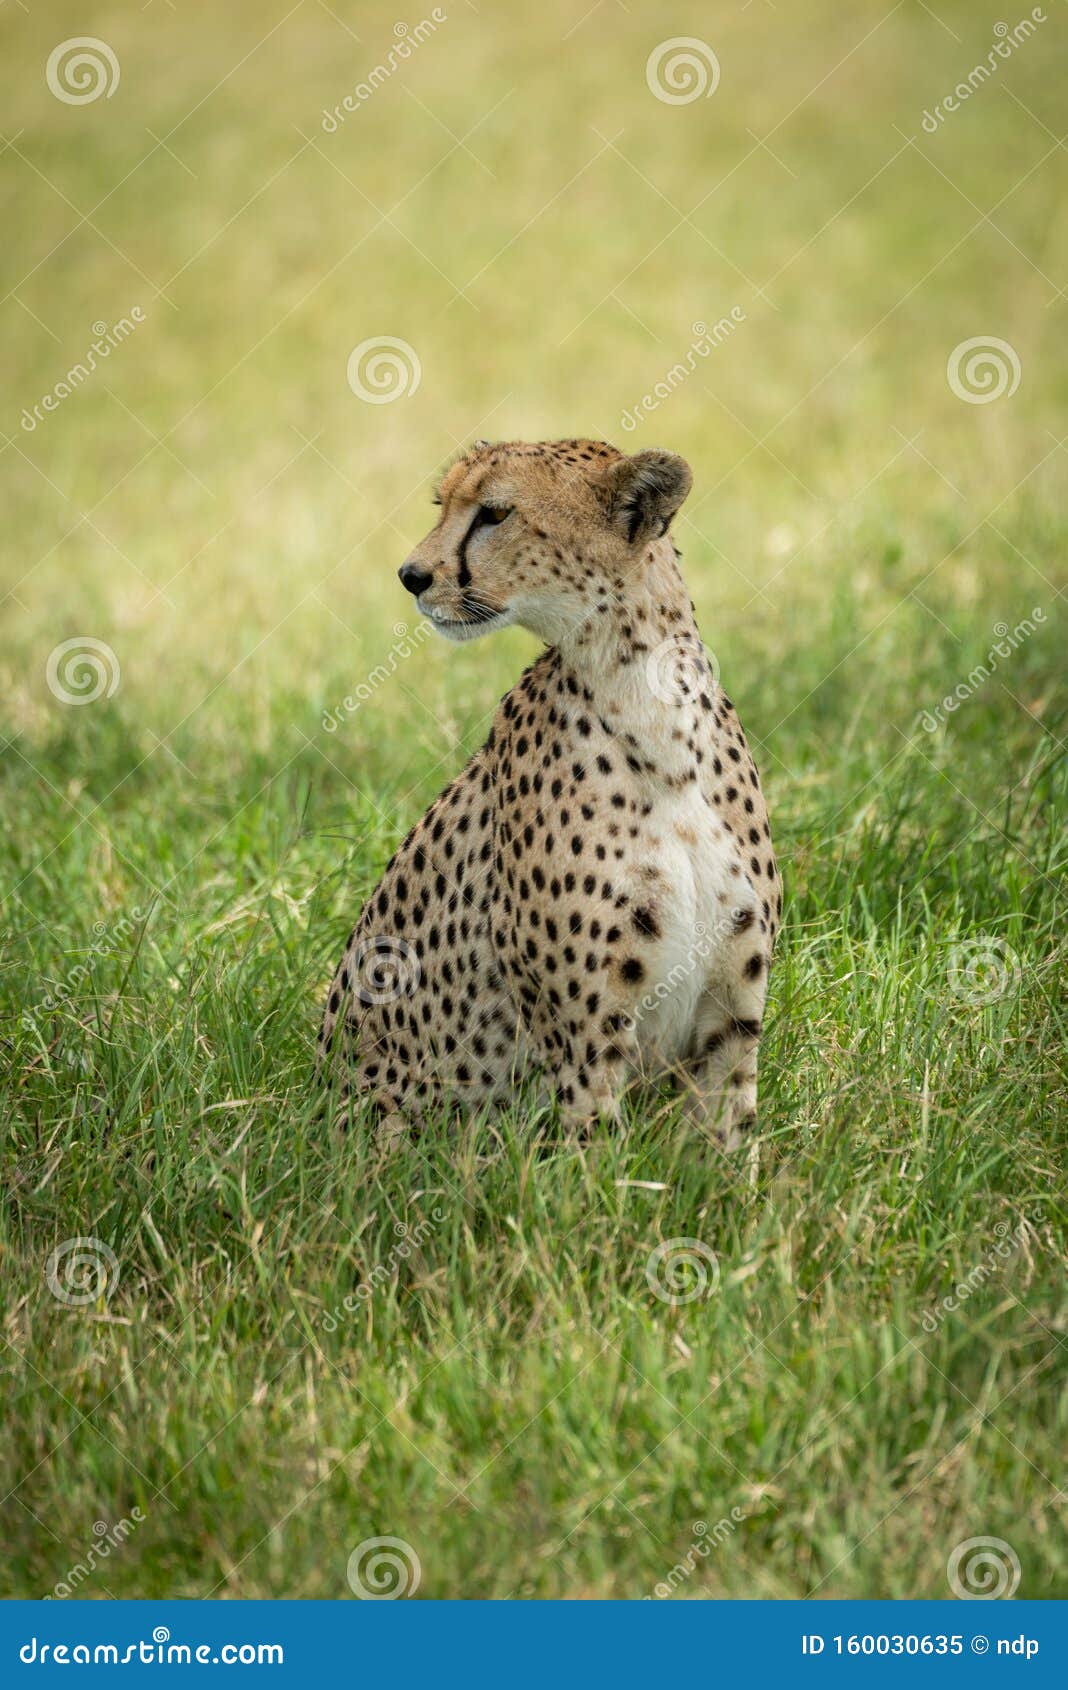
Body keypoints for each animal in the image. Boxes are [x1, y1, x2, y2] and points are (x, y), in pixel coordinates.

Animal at [319, 438, 781, 1148]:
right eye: (442, 504)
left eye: (495, 513)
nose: (411, 575)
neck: (650, 709)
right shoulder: (586, 1041)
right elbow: (595, 1158)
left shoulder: (732, 1017)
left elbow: (730, 1148)